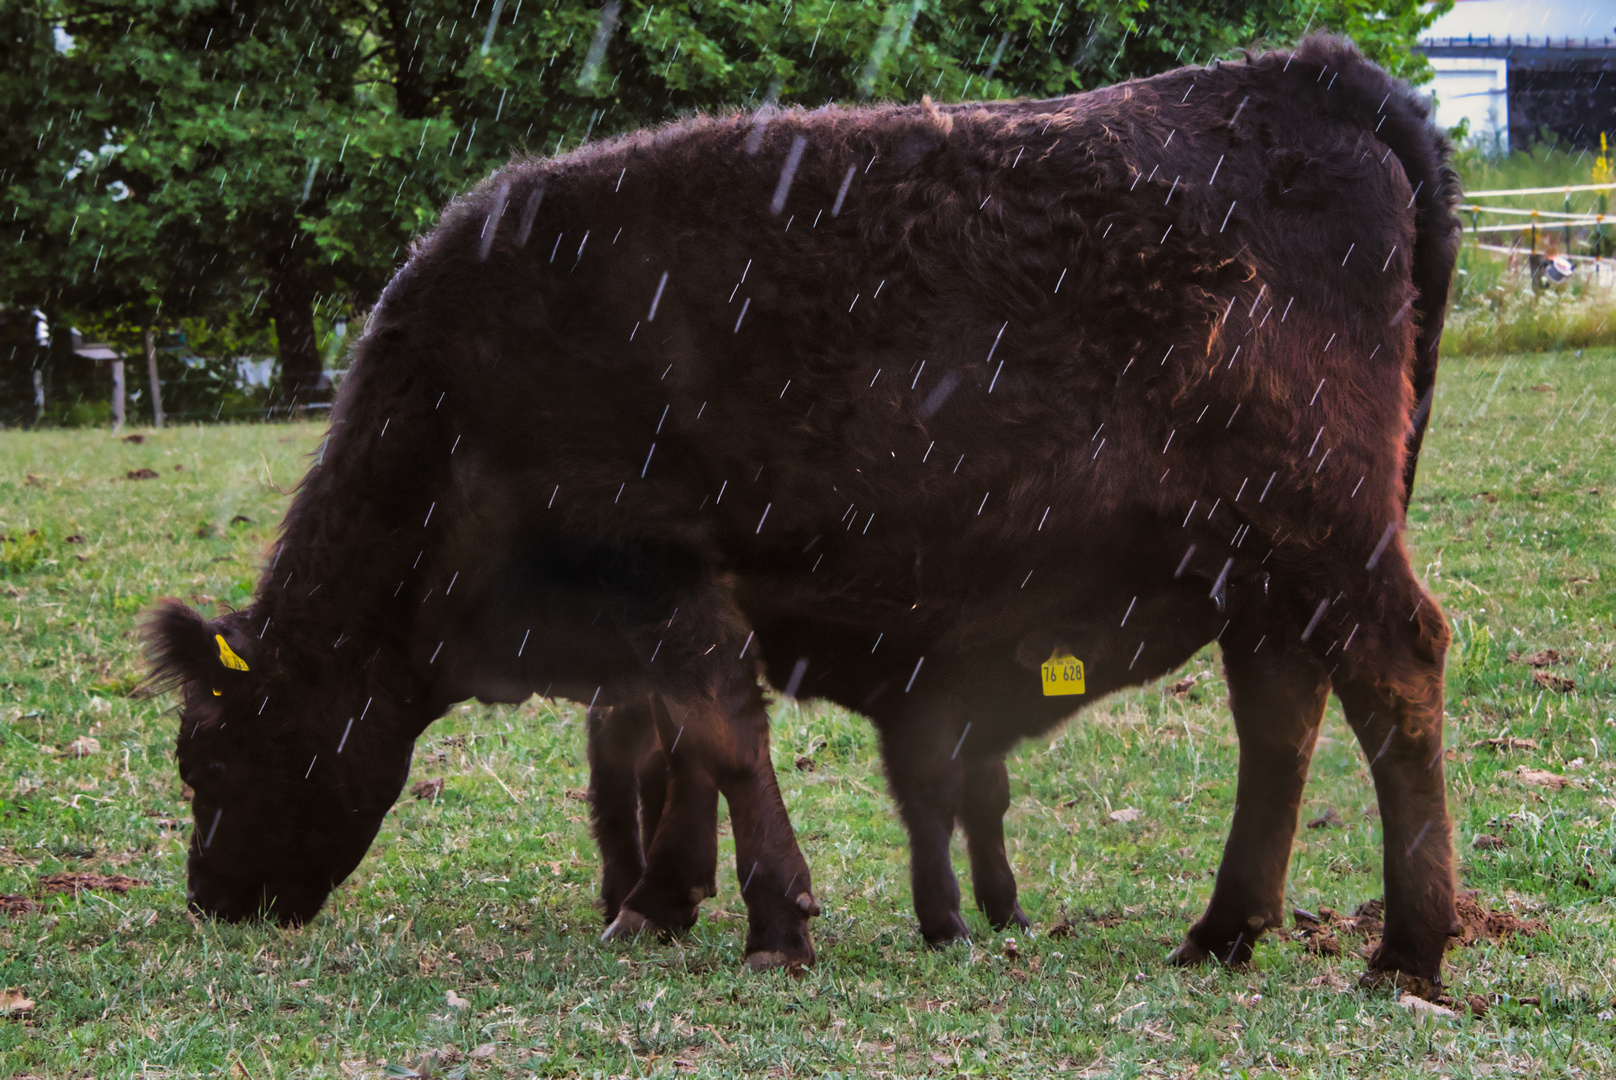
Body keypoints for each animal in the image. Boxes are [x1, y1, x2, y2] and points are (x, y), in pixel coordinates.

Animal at [148, 35, 1461, 988]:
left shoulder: (654, 566)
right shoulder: (675, 599)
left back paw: (1407, 949)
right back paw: (1225, 929)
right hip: (1258, 560)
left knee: (1394, 669)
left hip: (1320, 528)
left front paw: (772, 922)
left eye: (204, 760)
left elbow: (722, 737)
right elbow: (676, 744)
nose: (213, 903)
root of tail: (1303, 74)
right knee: (1279, 713)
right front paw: (664, 901)